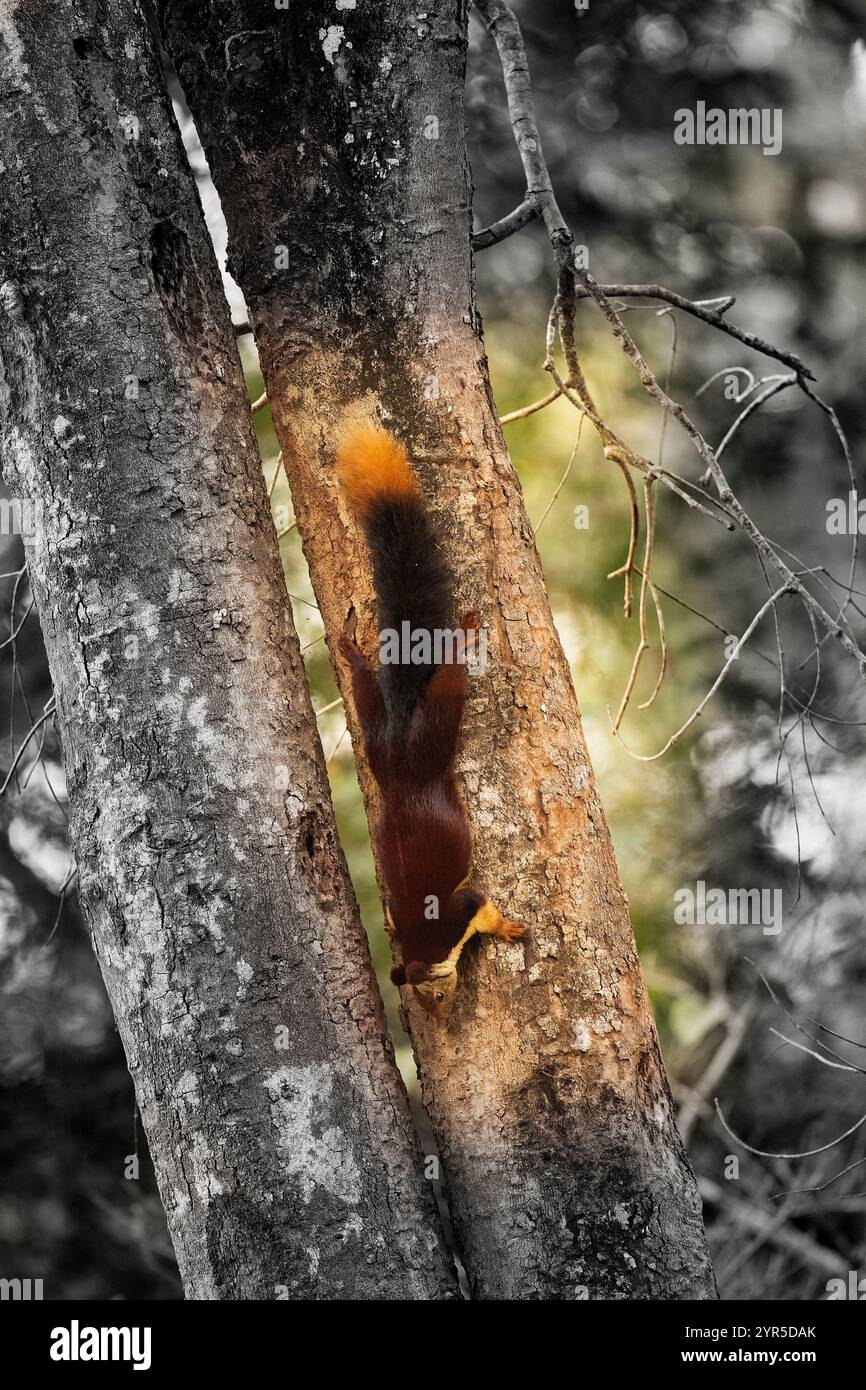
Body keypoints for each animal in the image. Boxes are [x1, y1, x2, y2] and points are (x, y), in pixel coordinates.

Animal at [336, 424, 525, 1020]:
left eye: (438, 992)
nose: (443, 1015)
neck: (426, 940)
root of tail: (401, 747)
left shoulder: (458, 910)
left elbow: (482, 909)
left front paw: (508, 928)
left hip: (432, 728)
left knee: (448, 681)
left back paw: (461, 638)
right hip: (378, 736)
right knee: (367, 692)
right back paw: (352, 654)